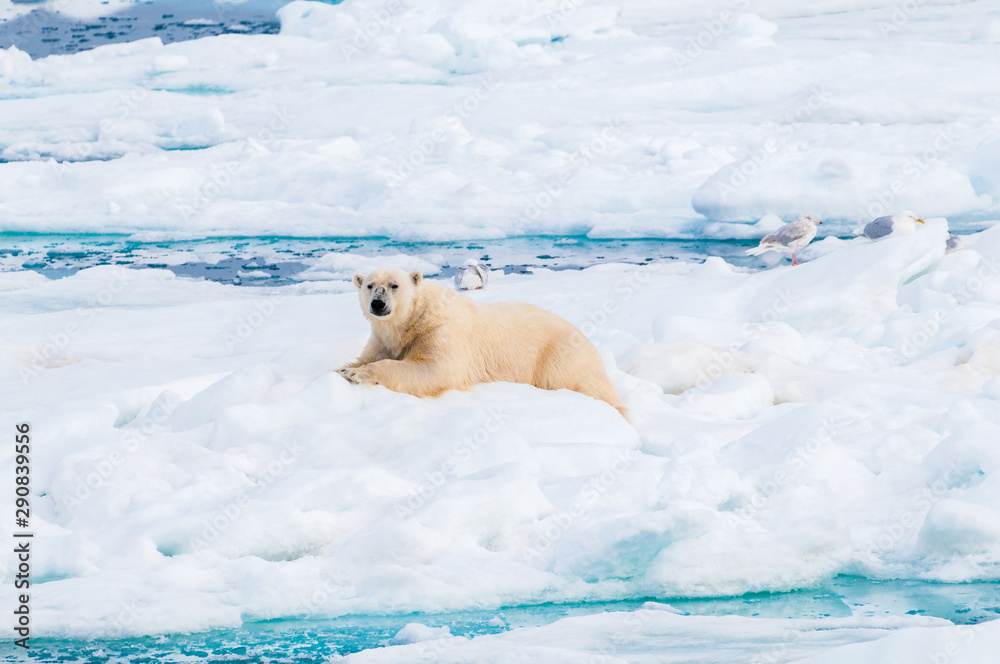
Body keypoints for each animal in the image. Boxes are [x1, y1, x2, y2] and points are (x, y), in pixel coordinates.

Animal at [338, 268, 626, 416]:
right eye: (370, 285)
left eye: (394, 285)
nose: (378, 304)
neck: (412, 320)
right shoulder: (383, 339)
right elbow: (368, 355)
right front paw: (344, 368)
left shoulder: (440, 330)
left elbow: (436, 369)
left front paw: (356, 374)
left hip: (561, 357)